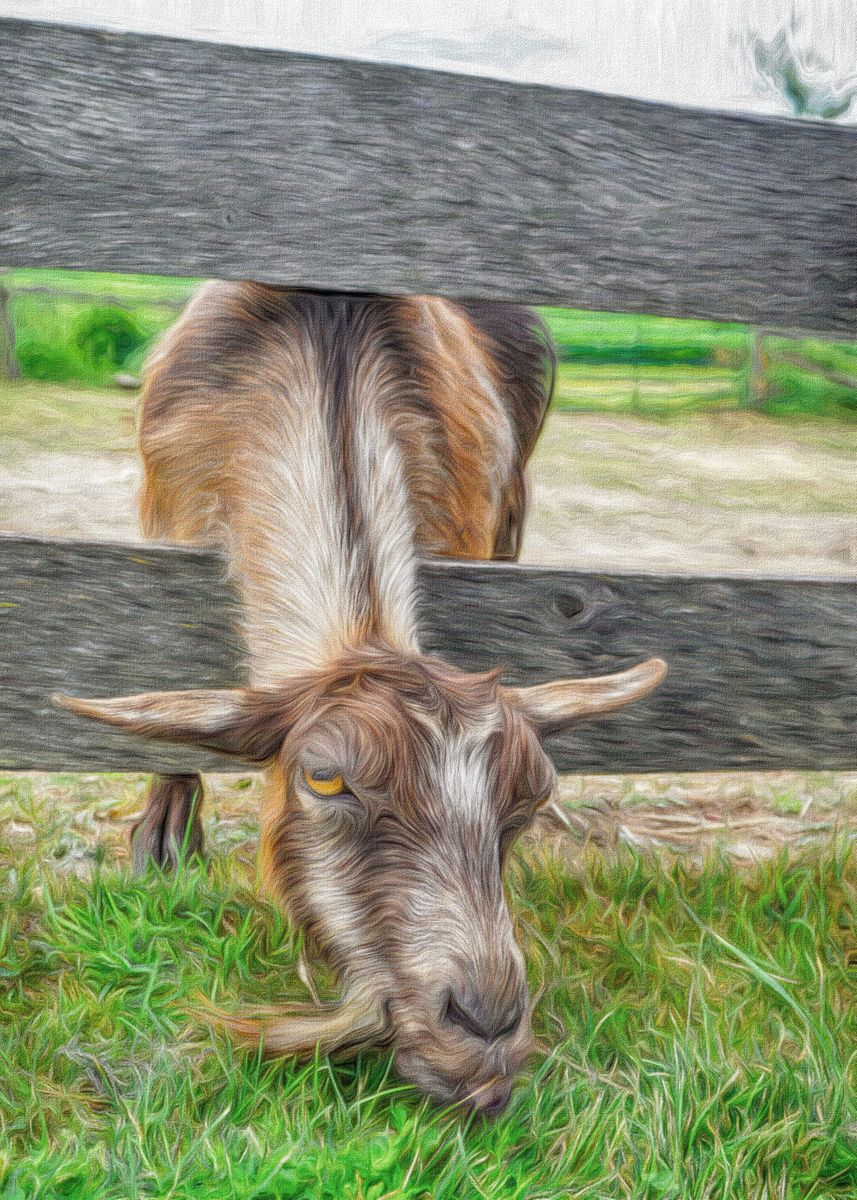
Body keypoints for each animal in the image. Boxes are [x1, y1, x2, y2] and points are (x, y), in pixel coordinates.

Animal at [57, 284, 665, 1114]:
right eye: (324, 779)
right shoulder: (159, 518)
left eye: (530, 797)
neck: (324, 330)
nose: (483, 1026)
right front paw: (162, 850)